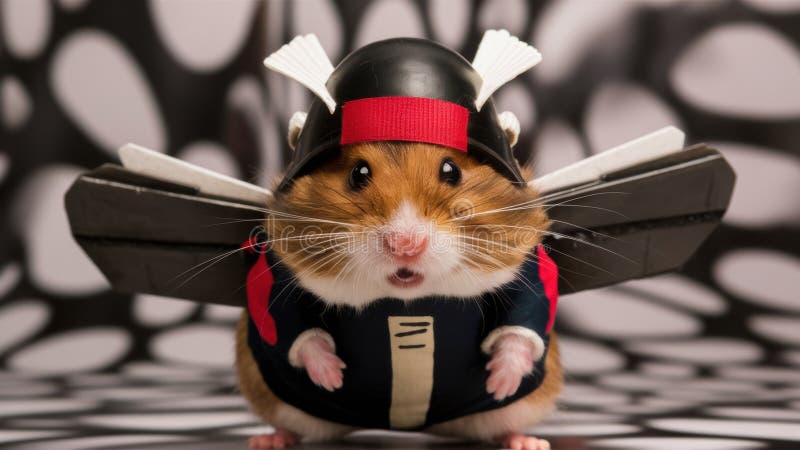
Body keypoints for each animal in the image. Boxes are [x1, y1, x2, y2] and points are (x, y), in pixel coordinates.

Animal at [236, 141, 562, 450]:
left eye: (451, 170)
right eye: (358, 174)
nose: (406, 245)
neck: (407, 300)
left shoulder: (528, 279)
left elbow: (521, 324)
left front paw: (499, 383)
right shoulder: (277, 284)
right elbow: (296, 330)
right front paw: (332, 377)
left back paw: (528, 442)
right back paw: (268, 440)